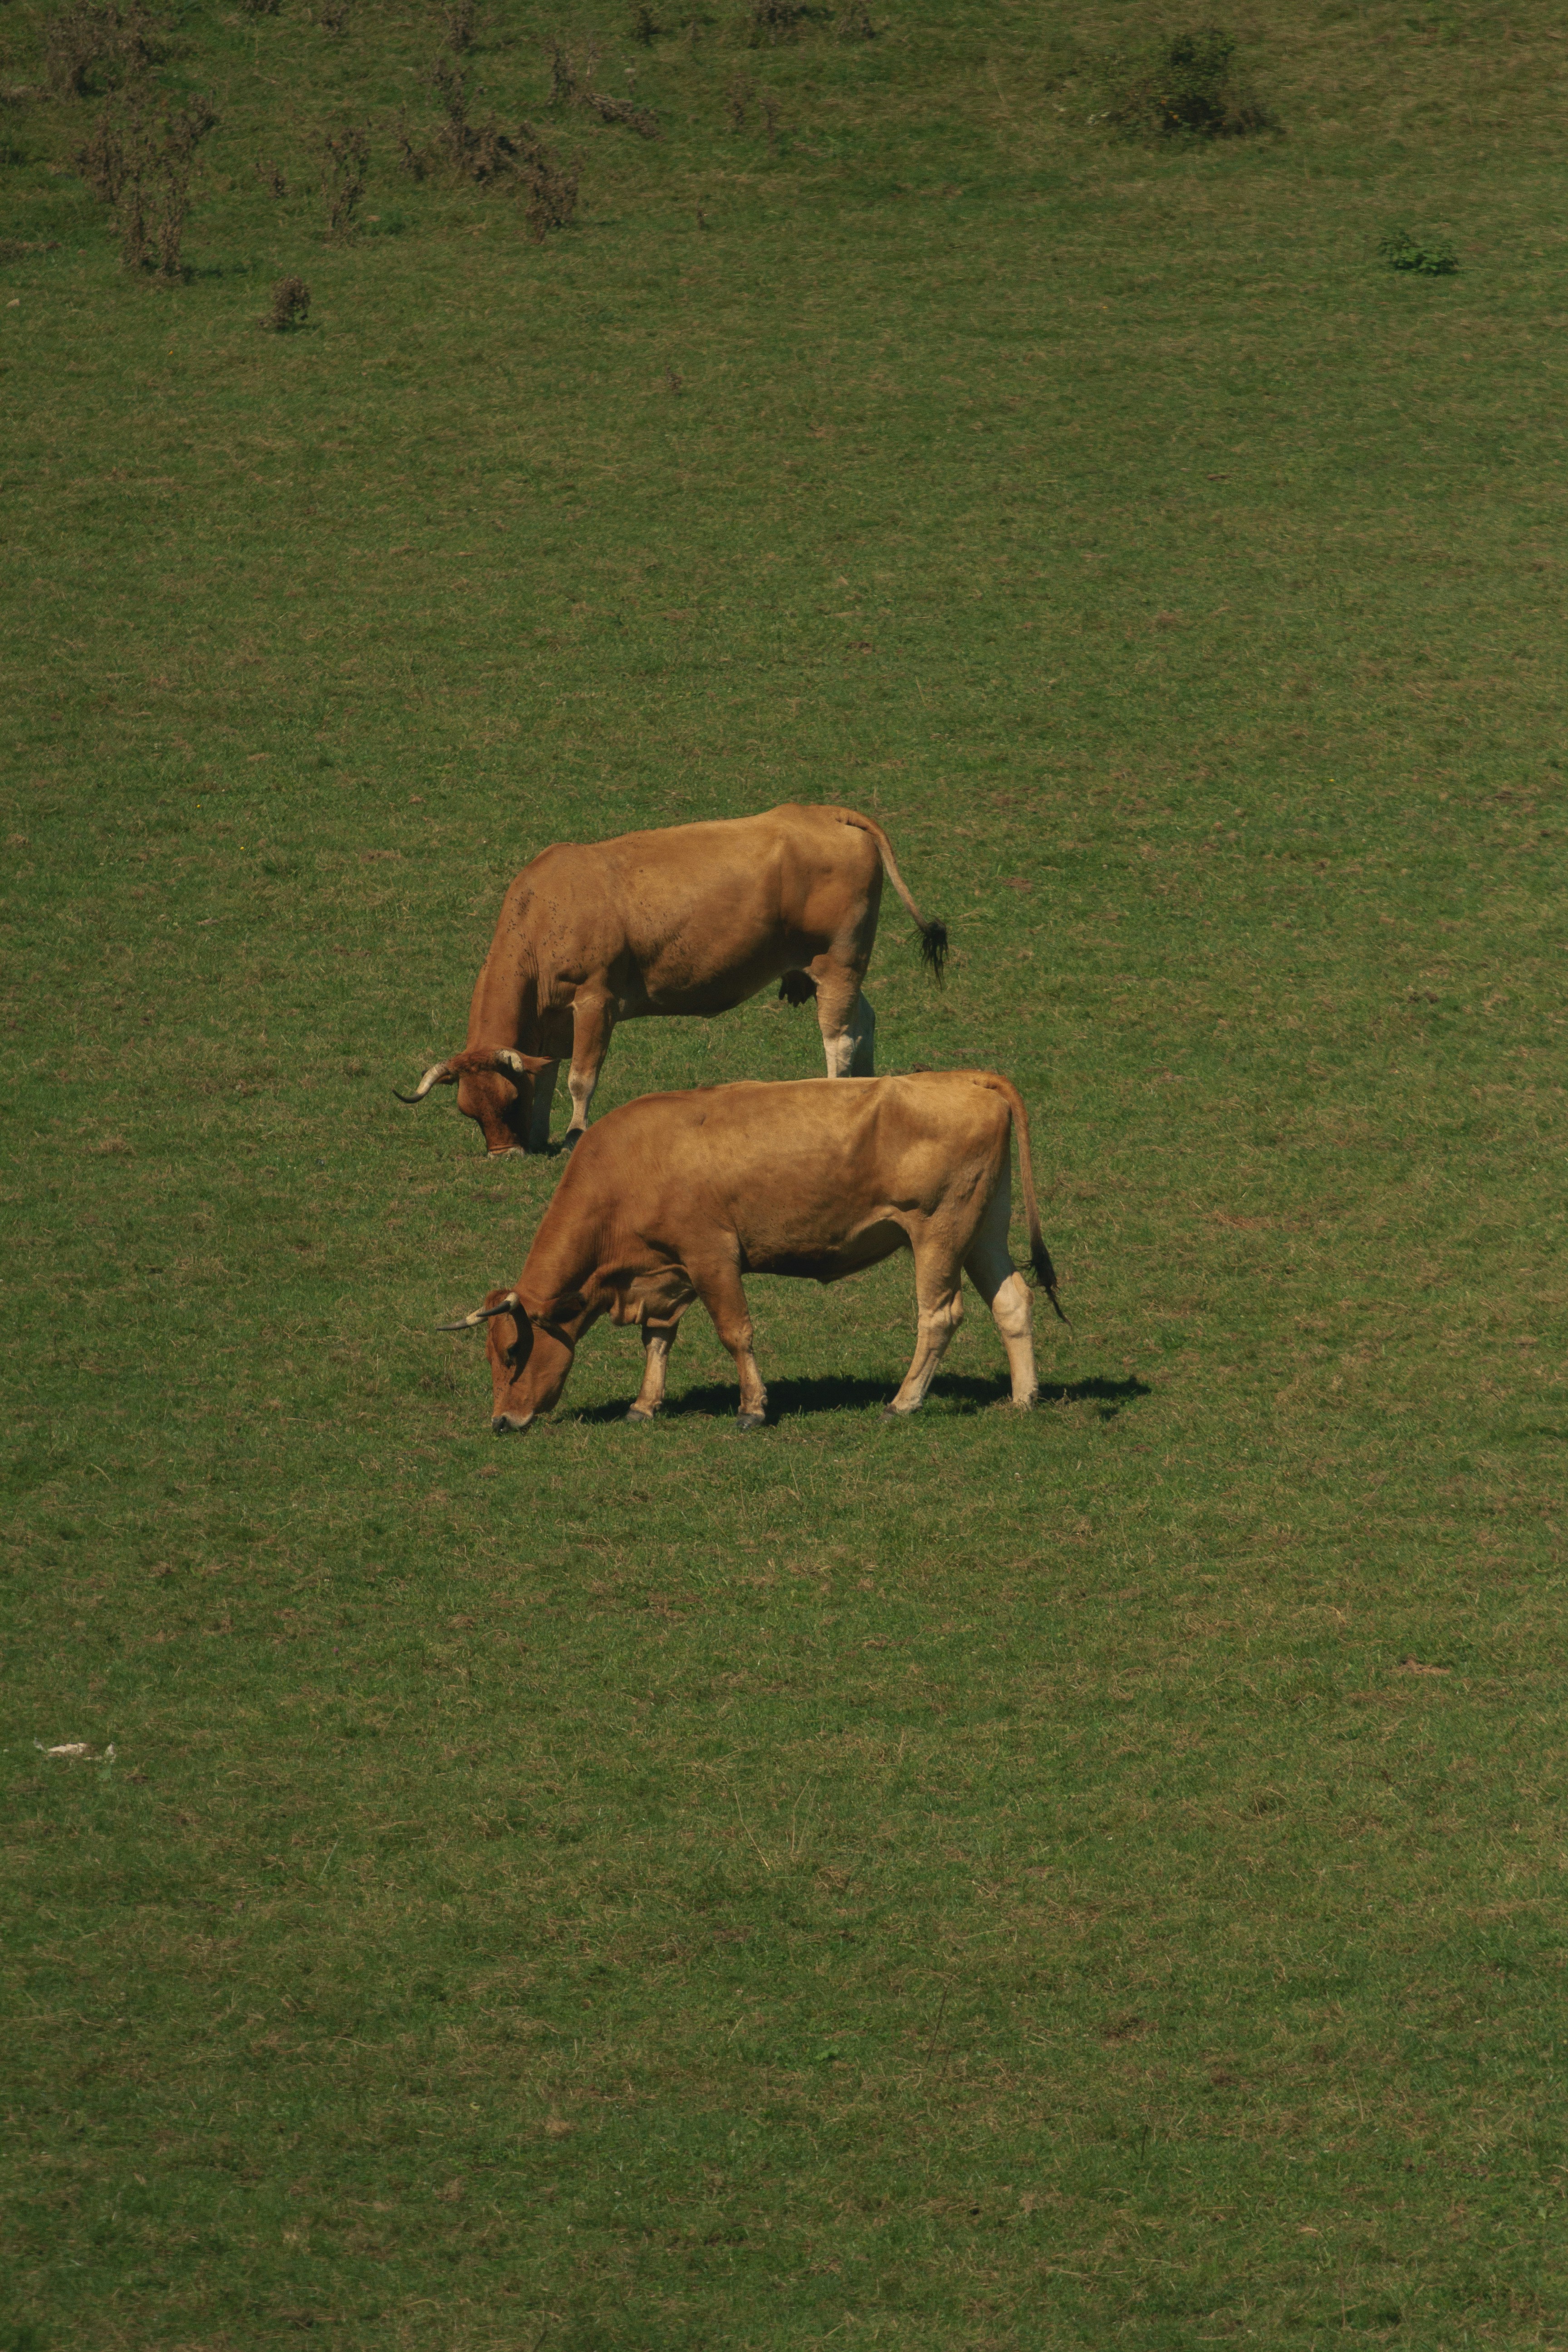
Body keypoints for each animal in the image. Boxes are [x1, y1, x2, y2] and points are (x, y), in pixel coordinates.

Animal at [396, 803, 947, 1157]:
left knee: (840, 1038)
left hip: (837, 962)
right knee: (864, 1022)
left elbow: (579, 1078)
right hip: (841, 971)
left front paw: (573, 1135)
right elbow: (546, 1072)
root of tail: (828, 812)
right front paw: (537, 1137)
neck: (544, 911)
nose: (503, 1155)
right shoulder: (550, 1020)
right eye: (469, 1110)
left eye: (506, 1102)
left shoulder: (596, 1001)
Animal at [436, 1069, 1067, 1434]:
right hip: (982, 1226)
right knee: (1012, 1301)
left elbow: (735, 1333)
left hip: (939, 1229)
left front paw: (752, 1409)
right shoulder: (665, 1273)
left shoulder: (711, 1257)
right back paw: (1023, 1398)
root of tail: (963, 1078)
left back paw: (904, 1402)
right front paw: (644, 1405)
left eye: (511, 1354)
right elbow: (657, 1339)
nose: (501, 1422)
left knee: (939, 1315)